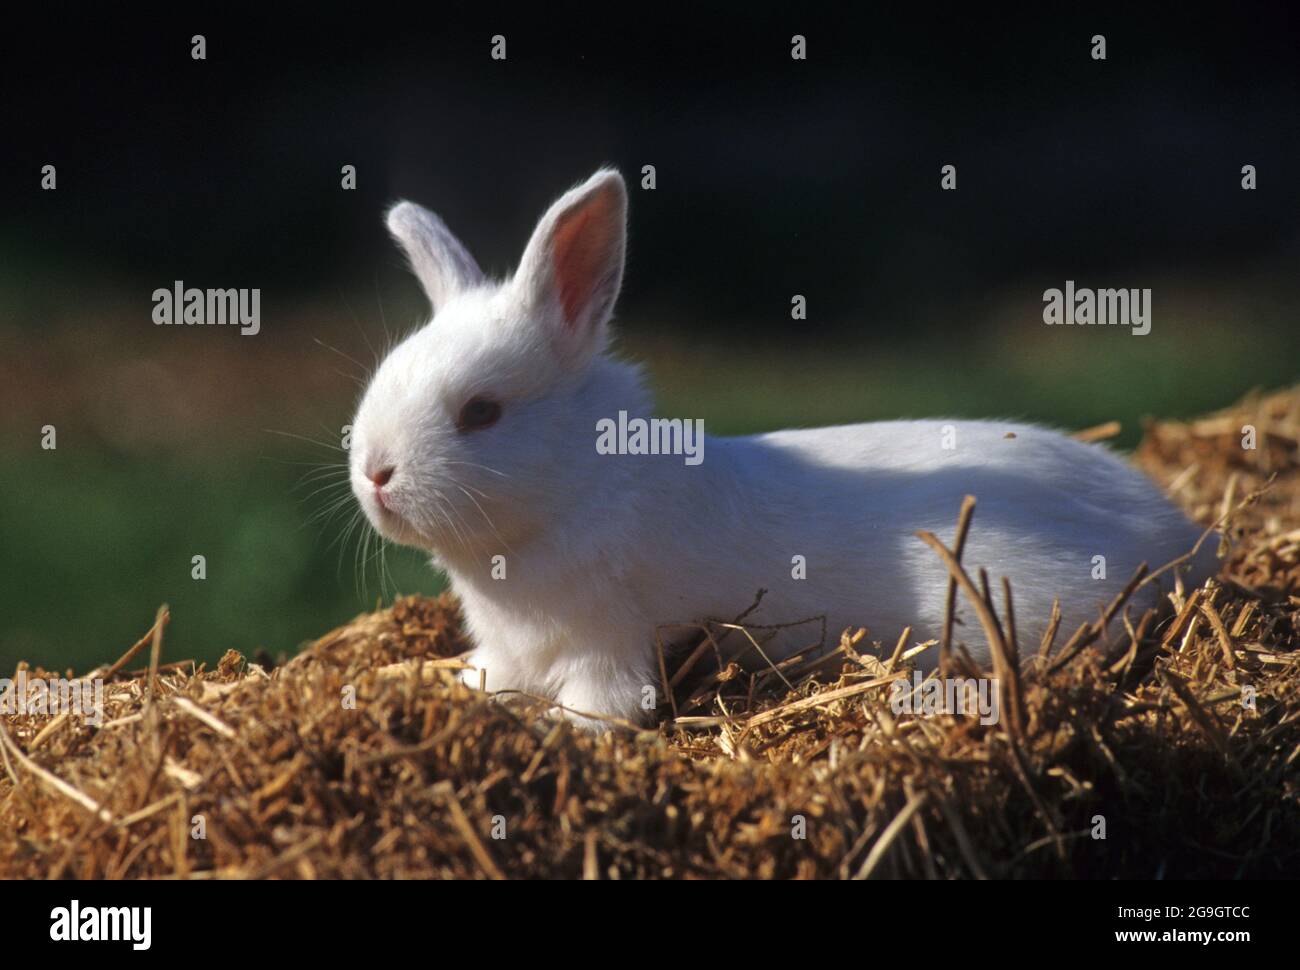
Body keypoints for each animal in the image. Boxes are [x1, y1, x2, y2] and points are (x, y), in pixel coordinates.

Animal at [348, 168, 1219, 728]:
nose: (375, 475)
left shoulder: (605, 651)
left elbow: (600, 715)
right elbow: (483, 679)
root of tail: (1185, 538)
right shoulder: (504, 652)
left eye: (482, 412)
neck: (579, 488)